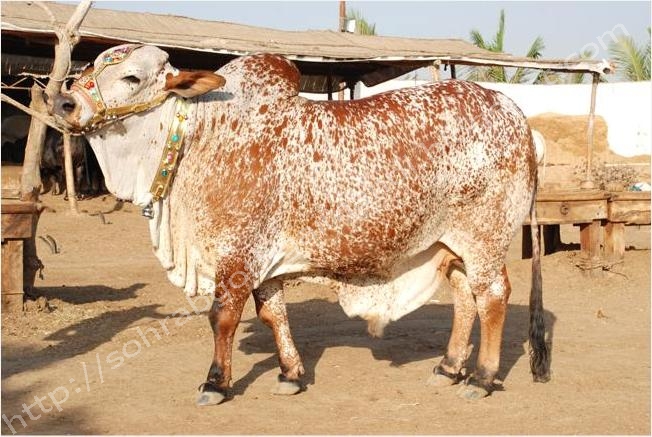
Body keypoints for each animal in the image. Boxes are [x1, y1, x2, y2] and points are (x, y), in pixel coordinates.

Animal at [49, 44, 550, 405]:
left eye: (131, 77)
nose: (65, 102)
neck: (201, 136)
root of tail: (519, 119)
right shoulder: (263, 263)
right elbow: (273, 314)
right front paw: (291, 373)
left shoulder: (237, 256)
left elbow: (222, 317)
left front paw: (215, 382)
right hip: (450, 245)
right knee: (466, 298)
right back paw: (448, 367)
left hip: (484, 239)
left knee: (492, 297)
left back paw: (481, 377)